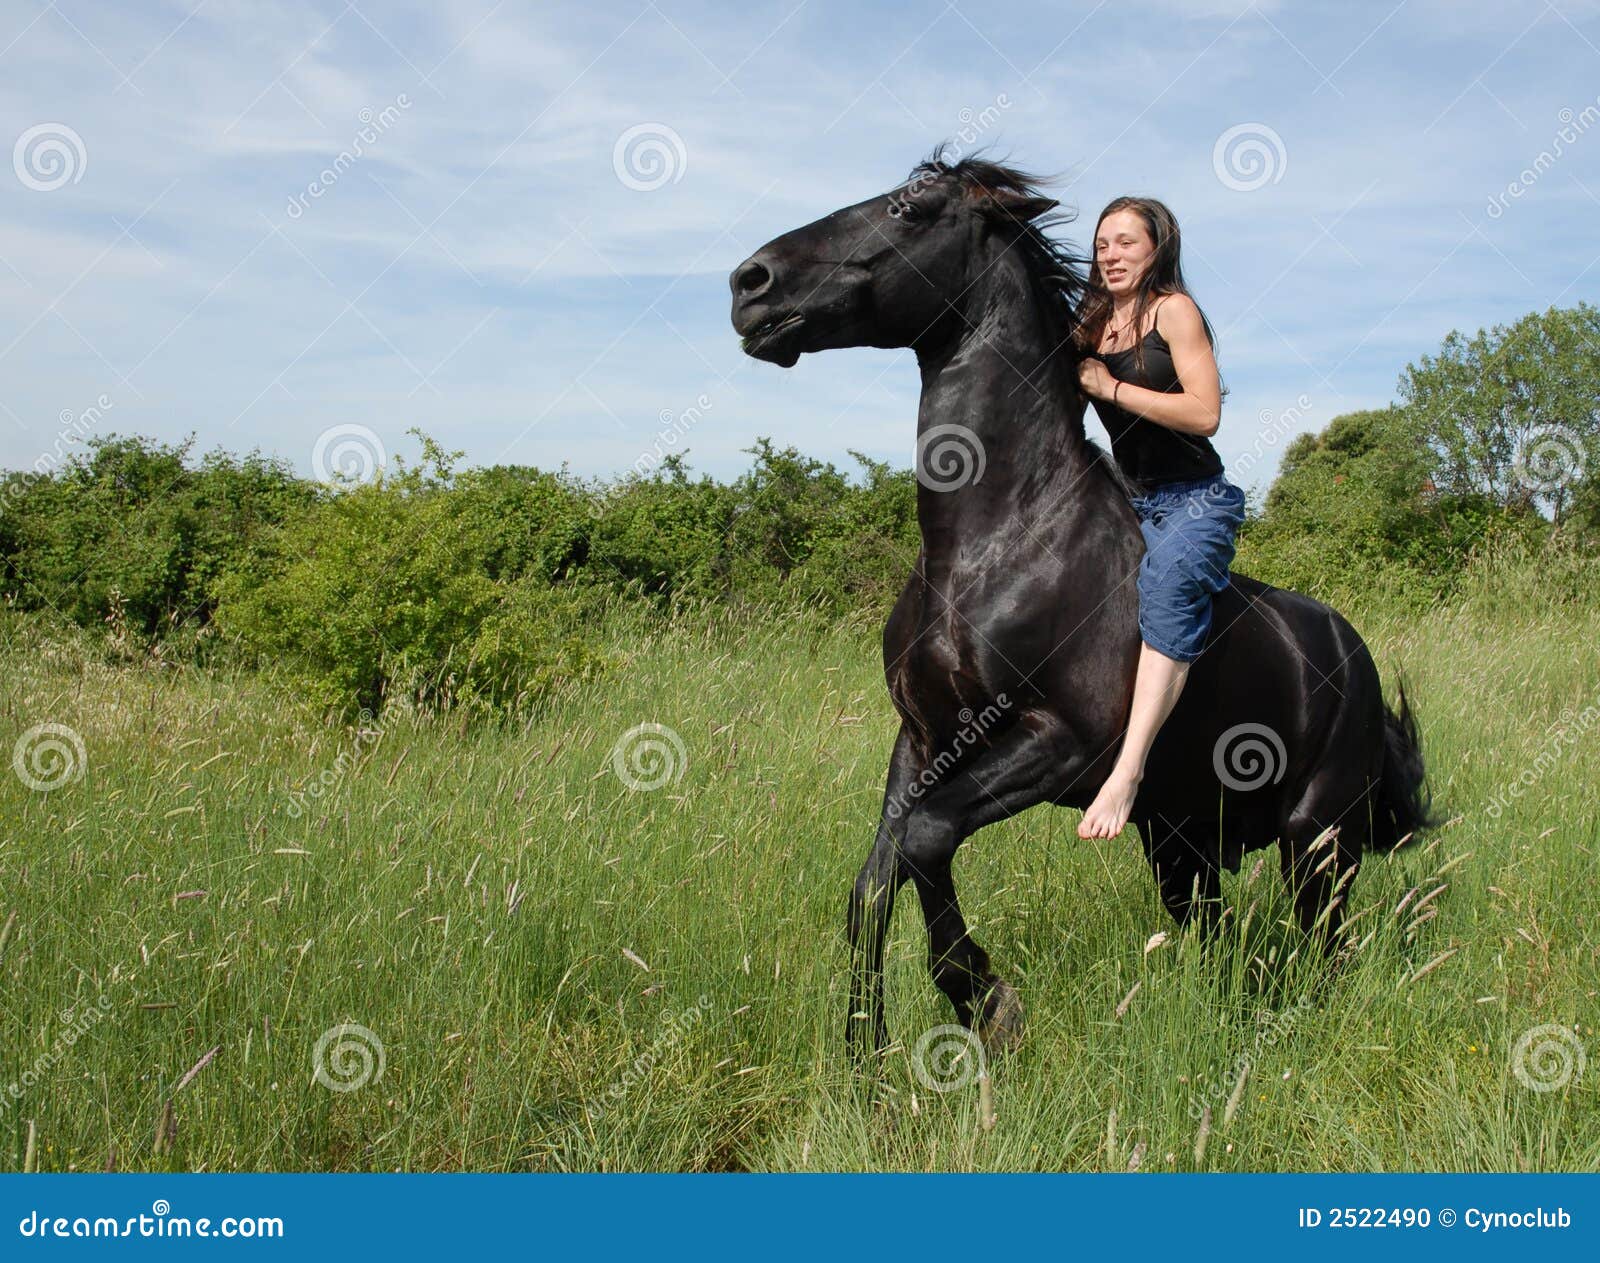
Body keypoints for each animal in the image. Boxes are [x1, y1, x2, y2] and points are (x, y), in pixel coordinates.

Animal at [727, 151, 1435, 1062]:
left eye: (911, 208)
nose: (751, 284)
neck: (993, 544)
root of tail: (1354, 654)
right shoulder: (922, 741)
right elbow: (874, 887)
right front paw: (865, 1054)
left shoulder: (1063, 742)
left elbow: (926, 840)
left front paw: (987, 1001)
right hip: (1181, 839)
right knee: (1223, 937)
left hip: (1318, 836)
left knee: (1326, 944)